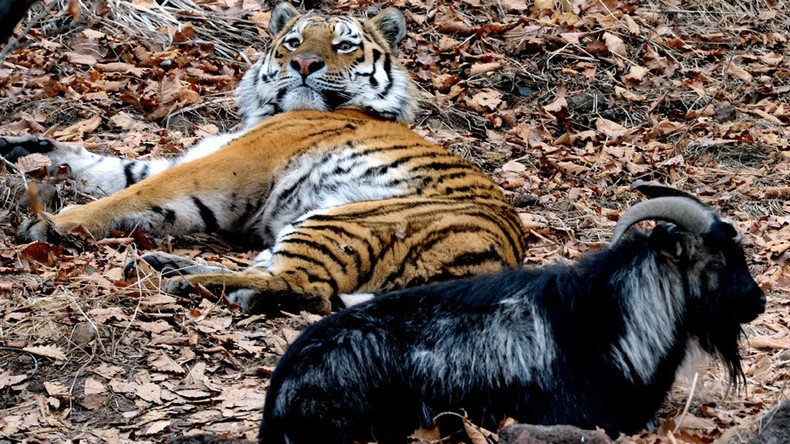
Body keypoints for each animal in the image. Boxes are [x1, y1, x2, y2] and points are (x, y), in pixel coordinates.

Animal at [0, 3, 526, 314]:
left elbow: (133, 192)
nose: (304, 64)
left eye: (344, 44)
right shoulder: (206, 156)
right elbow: (111, 167)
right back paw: (173, 266)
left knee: (304, 286)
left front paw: (53, 223)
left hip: (348, 218)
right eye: (294, 41)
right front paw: (23, 147)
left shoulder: (230, 164)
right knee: (271, 274)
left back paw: (185, 281)